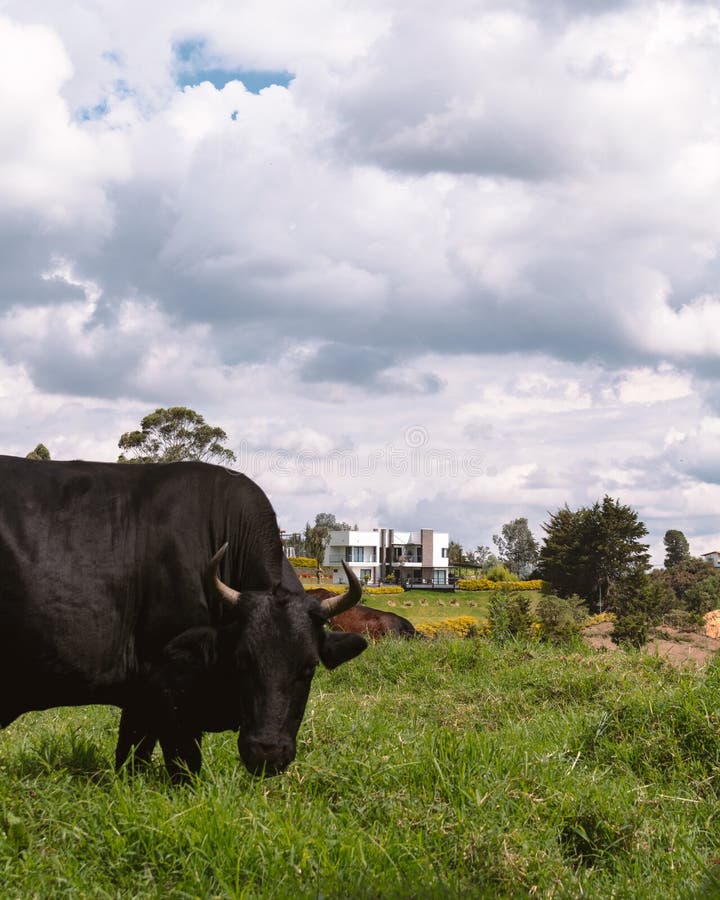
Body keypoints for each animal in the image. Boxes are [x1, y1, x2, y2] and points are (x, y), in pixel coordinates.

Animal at [0, 455, 367, 781]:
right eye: (243, 661)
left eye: (309, 668)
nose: (267, 752)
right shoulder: (168, 688)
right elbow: (184, 765)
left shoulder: (140, 698)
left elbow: (131, 758)